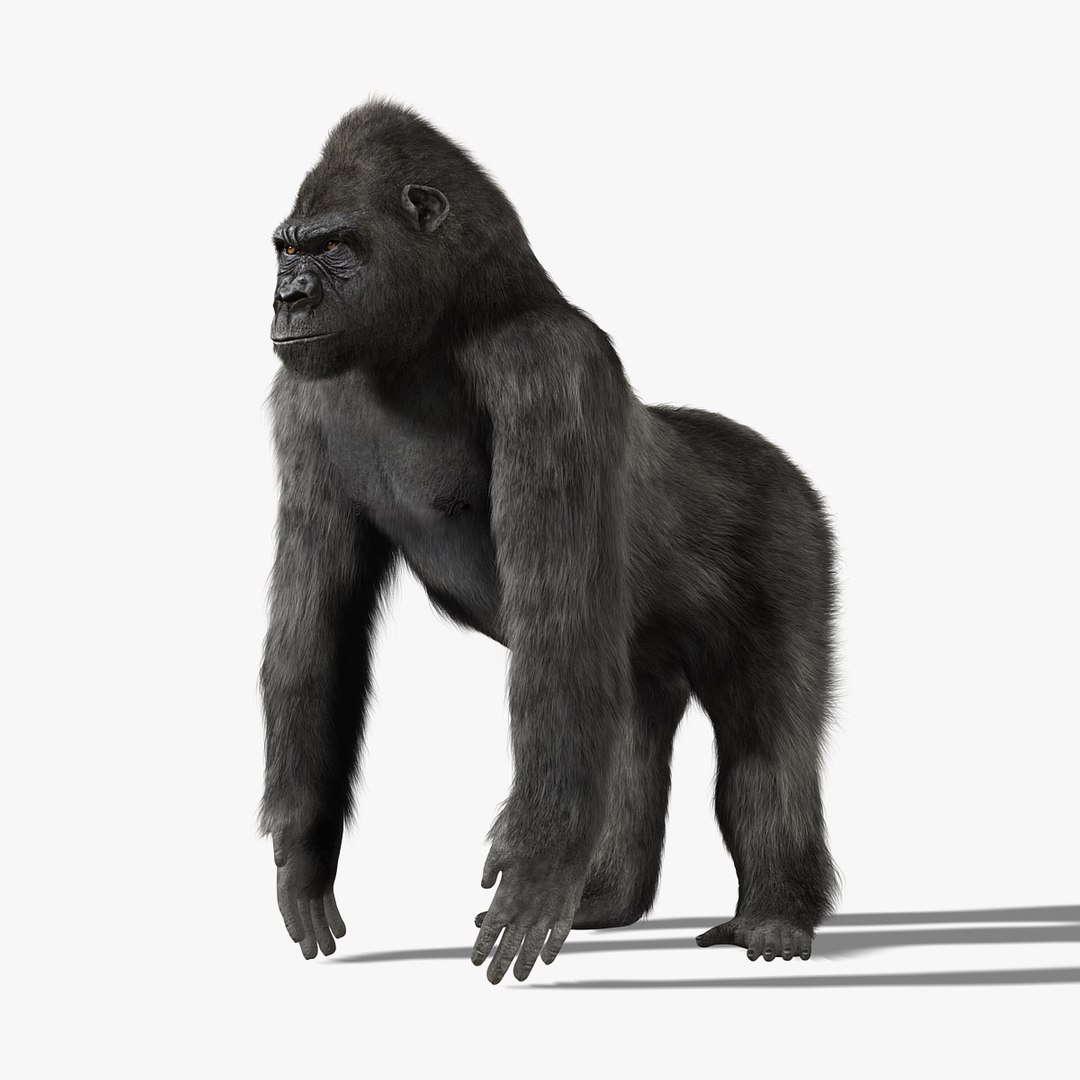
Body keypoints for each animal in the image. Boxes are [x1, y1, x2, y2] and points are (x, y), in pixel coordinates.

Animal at [260, 99, 839, 984]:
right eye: (287, 249)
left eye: (333, 248)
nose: (287, 298)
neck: (445, 322)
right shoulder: (300, 402)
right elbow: (315, 639)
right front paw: (303, 854)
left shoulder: (551, 373)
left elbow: (558, 632)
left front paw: (531, 867)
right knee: (629, 726)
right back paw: (605, 897)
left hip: (793, 528)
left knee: (766, 740)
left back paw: (774, 912)